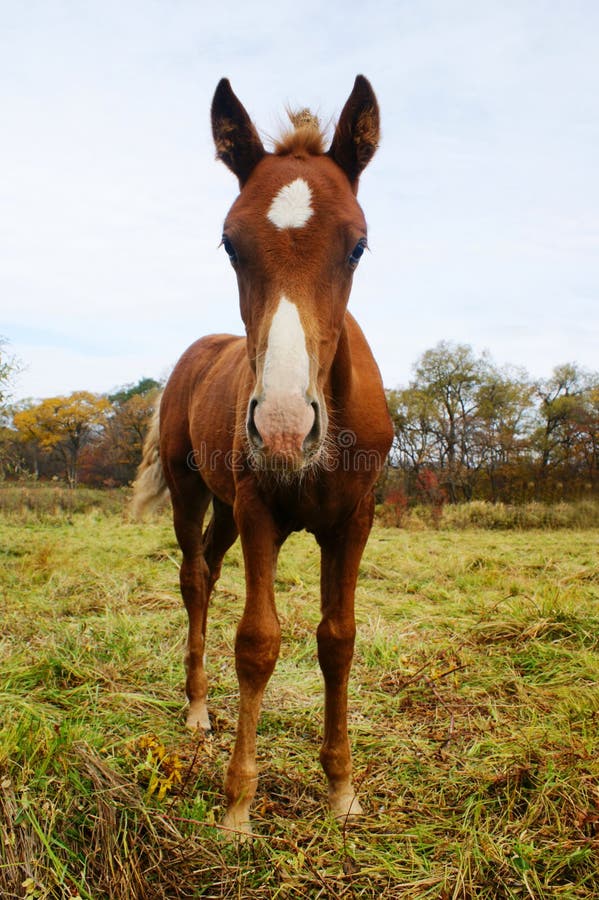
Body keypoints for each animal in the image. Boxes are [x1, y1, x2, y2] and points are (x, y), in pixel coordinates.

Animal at [133, 75, 393, 836]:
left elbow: (338, 639)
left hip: (224, 509)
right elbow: (257, 642)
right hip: (195, 493)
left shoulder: (354, 521)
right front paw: (238, 804)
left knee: (210, 570)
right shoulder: (260, 514)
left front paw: (341, 789)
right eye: (230, 244)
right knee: (194, 580)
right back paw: (196, 708)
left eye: (357, 246)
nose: (281, 428)